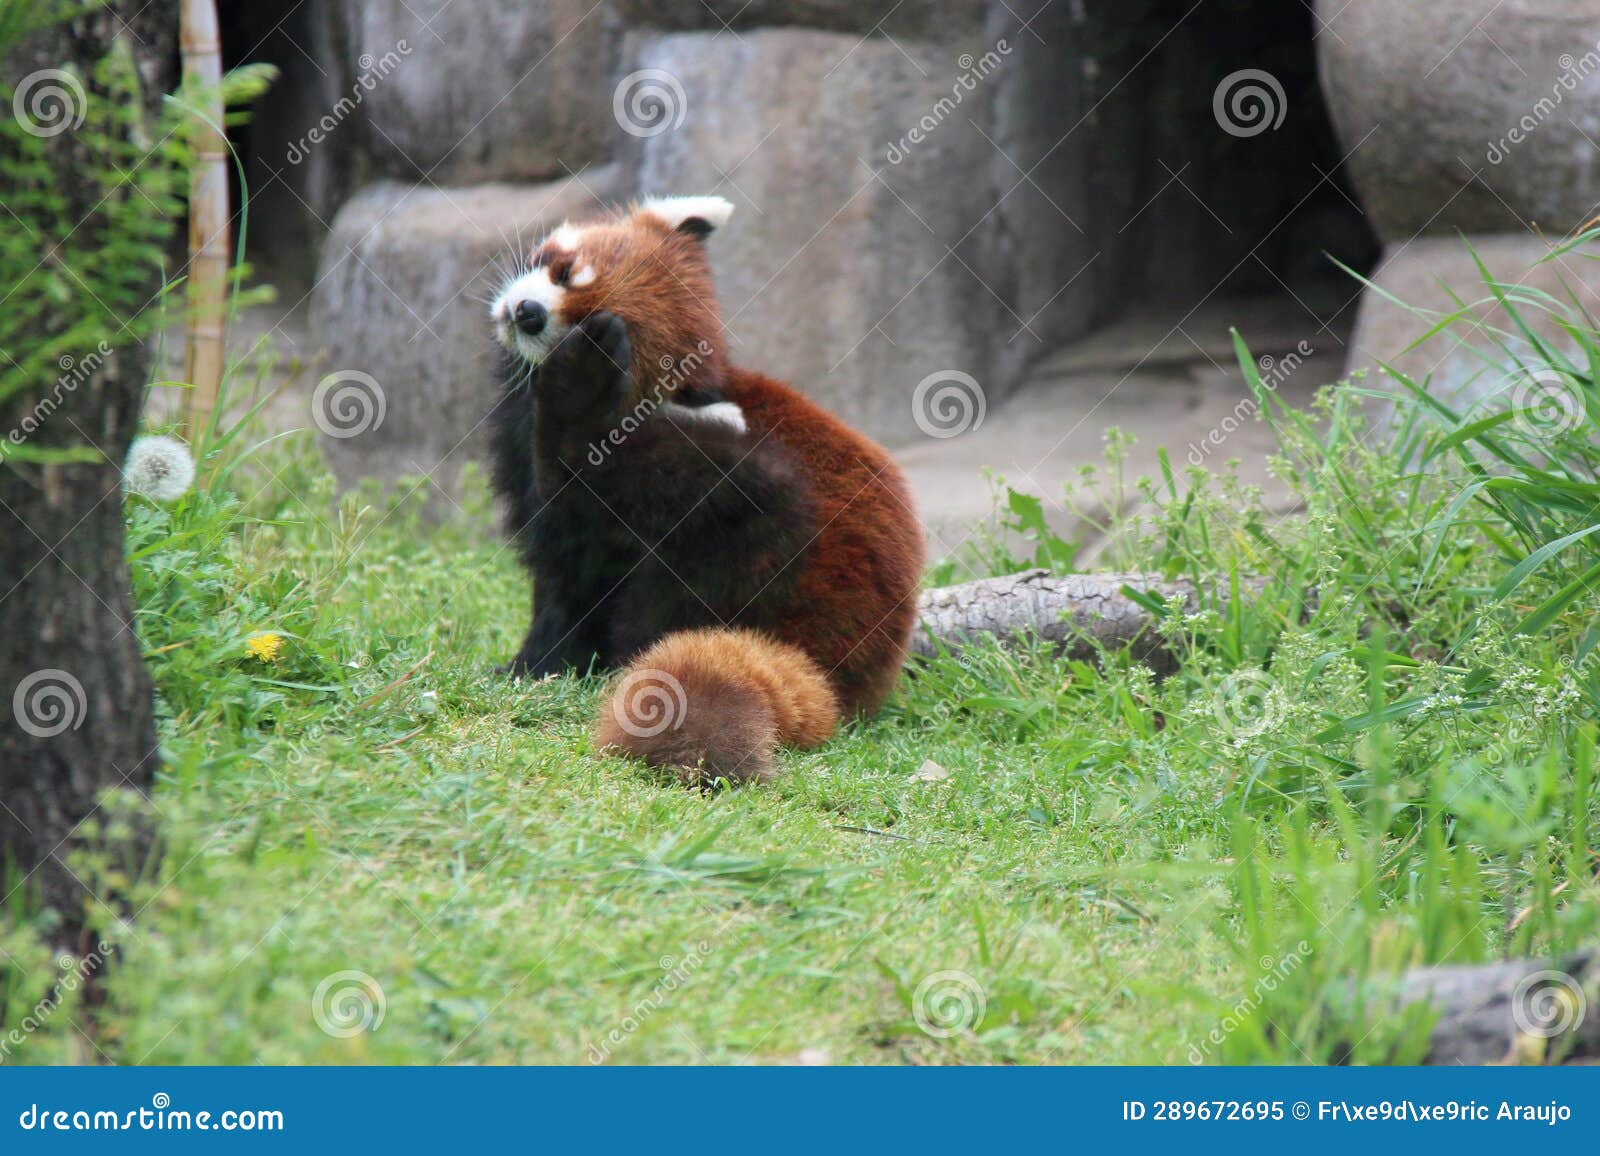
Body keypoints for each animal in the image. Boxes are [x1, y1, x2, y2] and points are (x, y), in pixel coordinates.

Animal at [487, 195, 924, 785]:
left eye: (582, 325)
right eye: (564, 270)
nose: (528, 313)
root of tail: (837, 667)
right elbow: (560, 583)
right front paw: (534, 665)